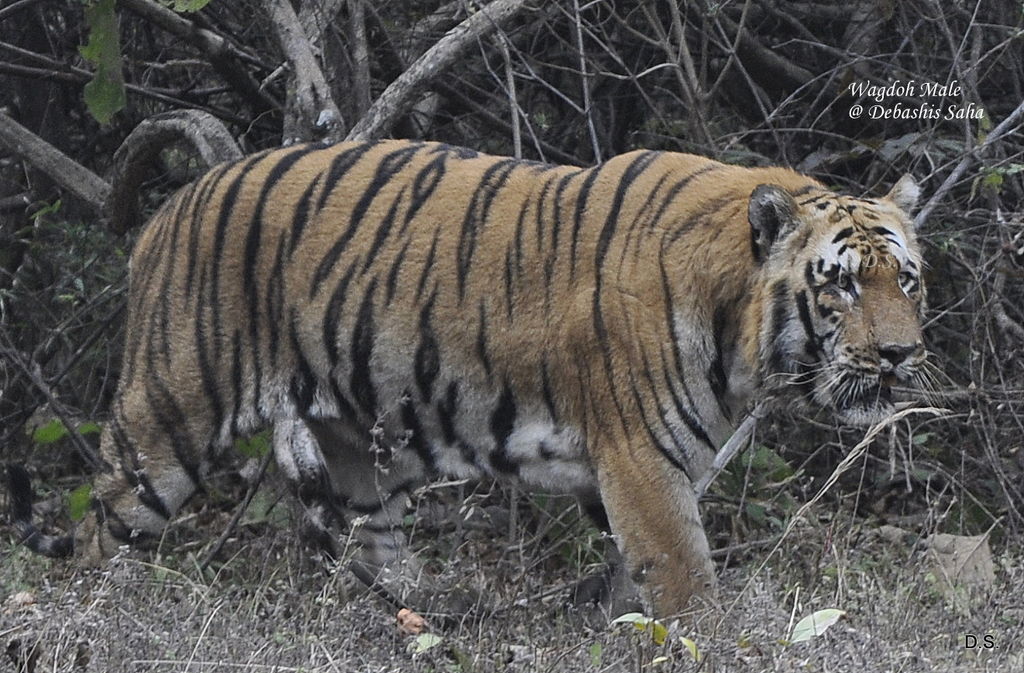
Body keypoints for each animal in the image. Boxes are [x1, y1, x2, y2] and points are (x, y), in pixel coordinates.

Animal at [7, 139, 927, 619]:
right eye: (842, 285)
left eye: (907, 280)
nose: (901, 354)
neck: (745, 344)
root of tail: (171, 207)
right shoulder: (640, 461)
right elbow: (688, 582)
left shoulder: (648, 472)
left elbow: (636, 578)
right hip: (168, 418)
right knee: (97, 529)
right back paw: (95, 610)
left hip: (363, 452)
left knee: (371, 552)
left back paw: (411, 619)